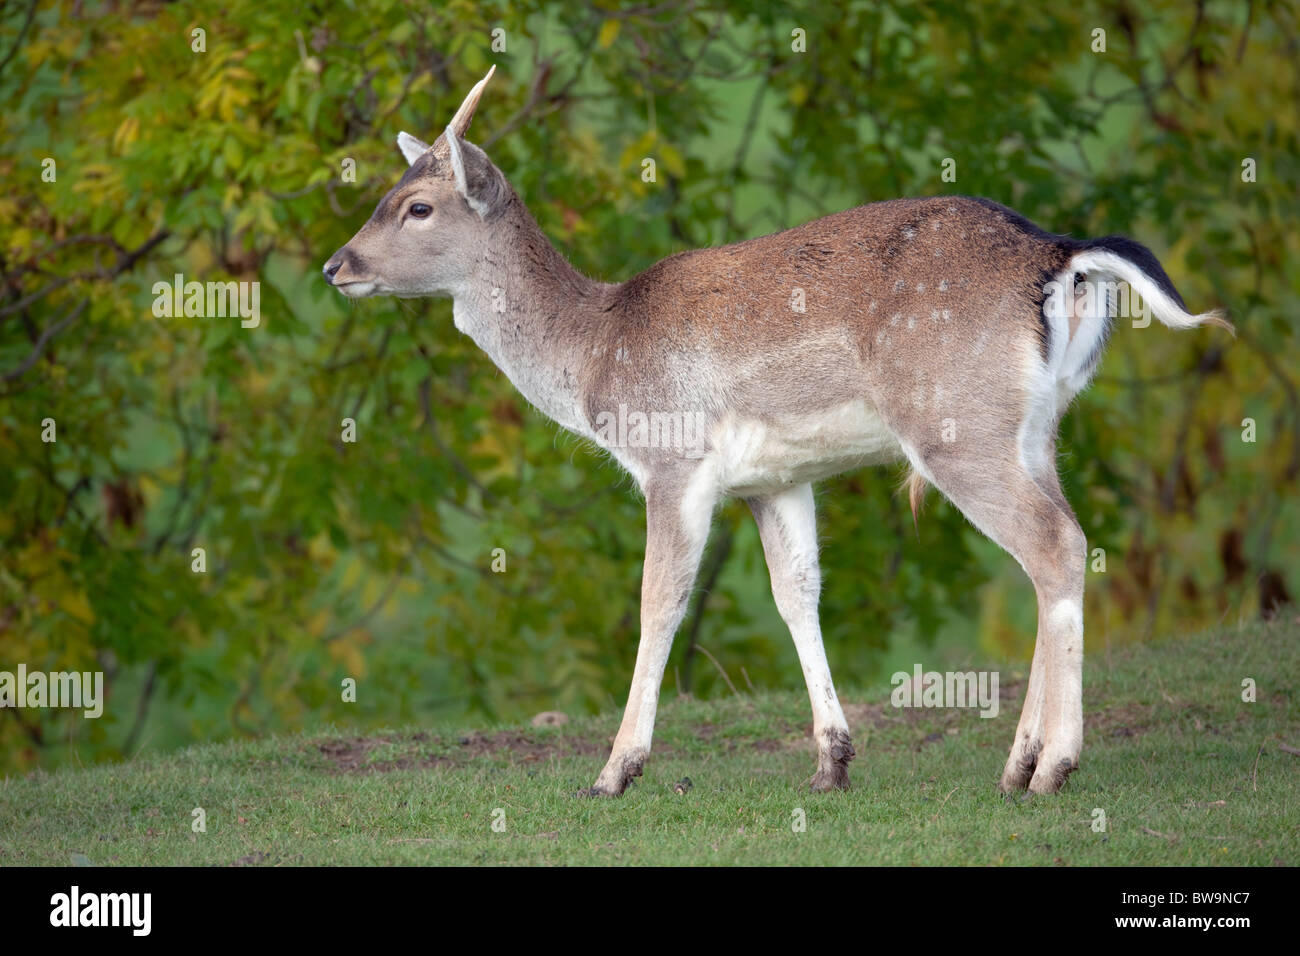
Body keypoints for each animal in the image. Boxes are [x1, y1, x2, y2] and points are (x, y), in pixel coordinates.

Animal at [323, 66, 1231, 797]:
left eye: (416, 205)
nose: (337, 266)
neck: (596, 354)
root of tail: (1064, 258)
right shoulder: (777, 479)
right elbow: (797, 595)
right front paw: (832, 761)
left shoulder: (674, 460)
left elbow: (659, 603)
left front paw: (616, 770)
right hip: (1035, 429)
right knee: (1052, 548)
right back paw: (1018, 765)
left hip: (957, 425)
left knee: (1055, 544)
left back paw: (1052, 768)